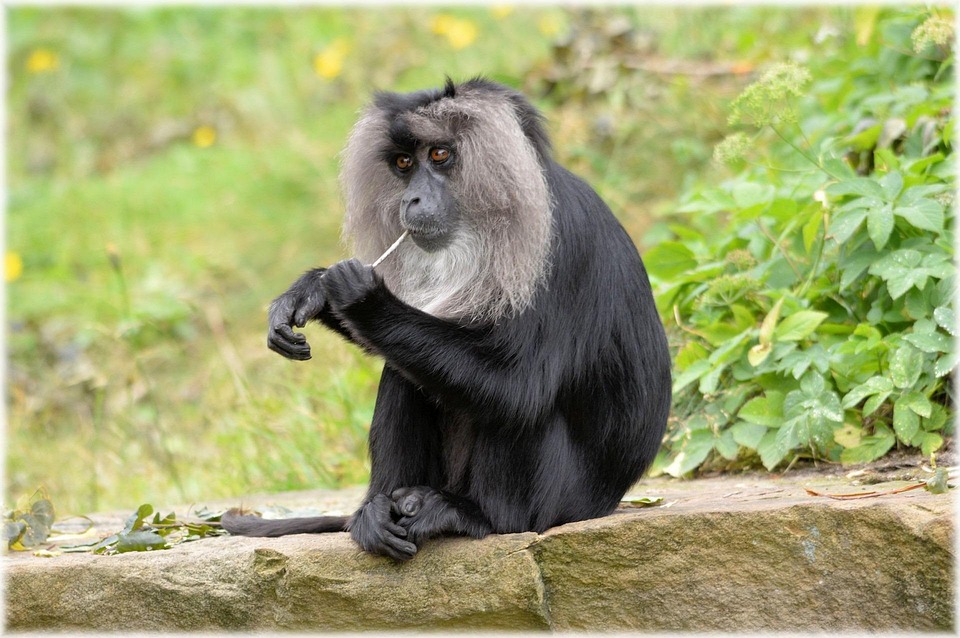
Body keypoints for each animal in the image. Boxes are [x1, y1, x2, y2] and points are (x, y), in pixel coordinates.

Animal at [221, 78, 672, 561]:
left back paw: (478, 516)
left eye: (439, 155)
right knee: (404, 367)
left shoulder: (557, 247)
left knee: (525, 404)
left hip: (564, 502)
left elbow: (520, 386)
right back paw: (377, 513)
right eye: (404, 163)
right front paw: (312, 290)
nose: (412, 198)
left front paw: (361, 296)